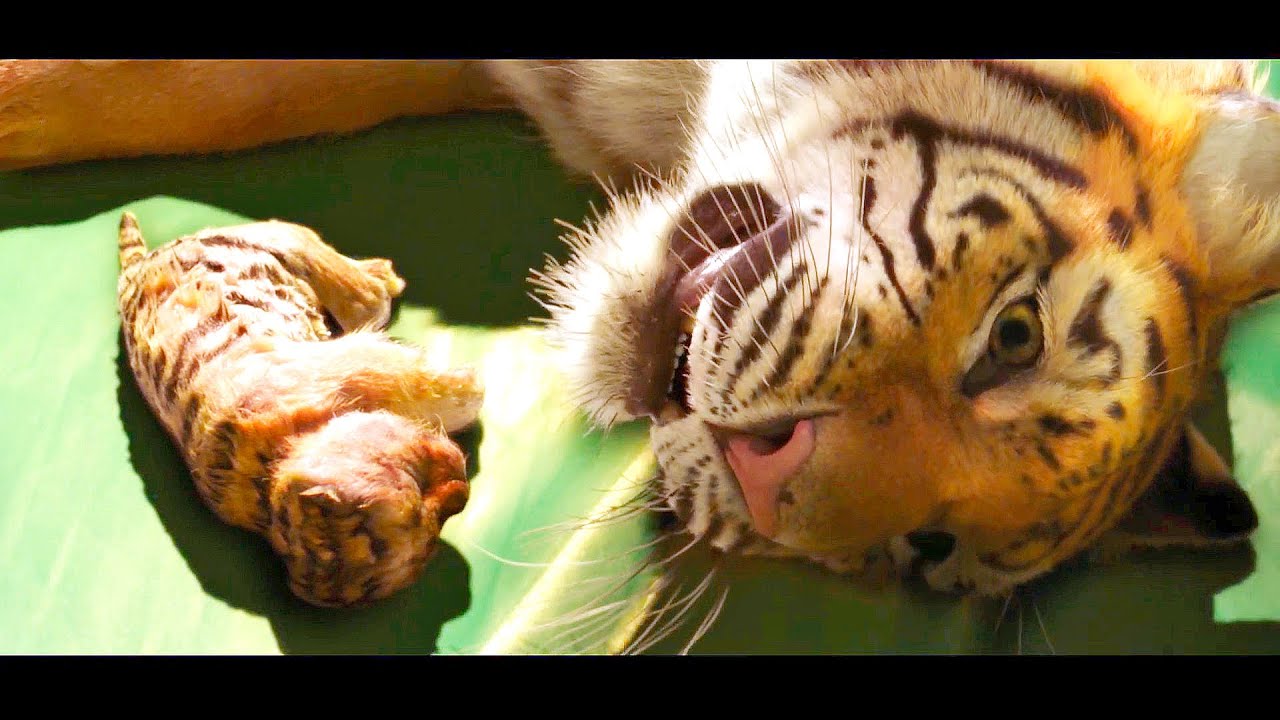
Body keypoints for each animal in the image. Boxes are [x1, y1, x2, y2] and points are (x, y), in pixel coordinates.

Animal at [115, 210, 484, 607]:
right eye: (435, 523)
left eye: (416, 477)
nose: (464, 493)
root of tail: (137, 266)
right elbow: (455, 396)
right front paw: (471, 387)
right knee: (367, 300)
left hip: (266, 239)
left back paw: (379, 271)